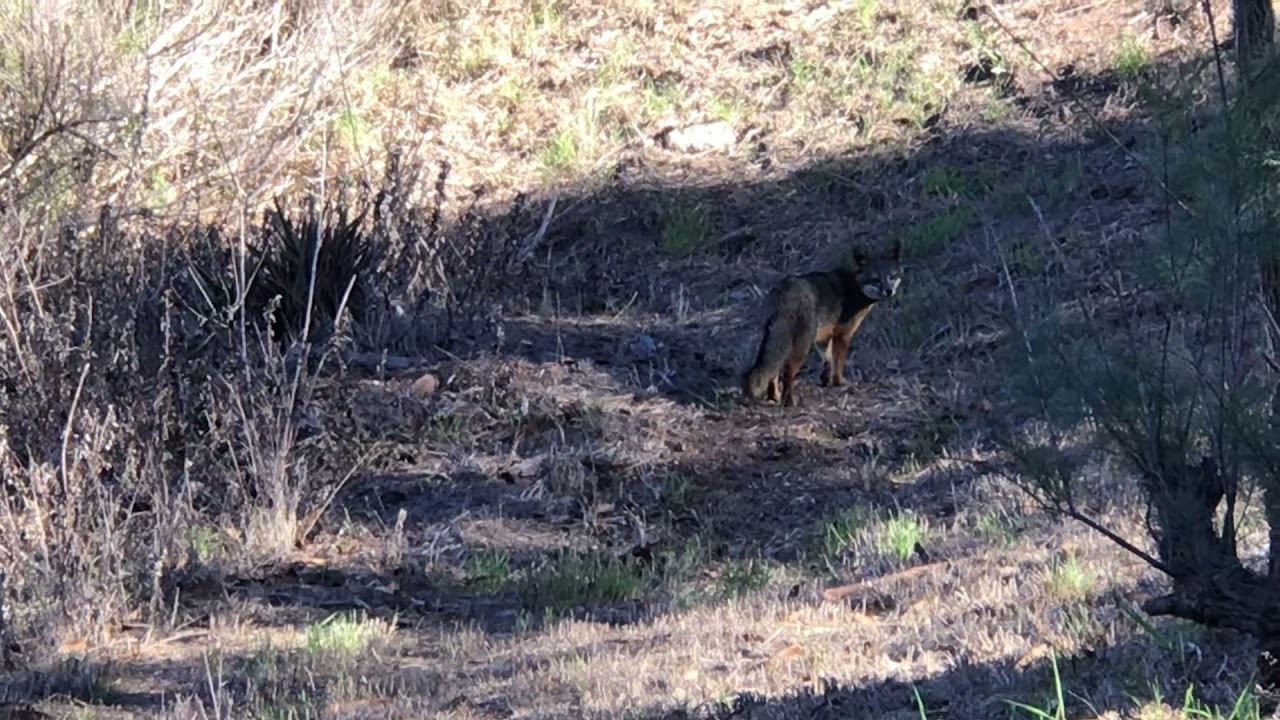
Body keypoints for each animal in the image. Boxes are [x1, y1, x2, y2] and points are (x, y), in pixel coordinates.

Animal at [741, 240, 903, 407]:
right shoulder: (843, 334)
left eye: (892, 277)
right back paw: (789, 402)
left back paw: (774, 397)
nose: (889, 291)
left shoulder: (824, 335)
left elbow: (827, 358)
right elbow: (838, 362)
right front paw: (838, 382)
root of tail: (784, 289)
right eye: (876, 279)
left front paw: (825, 379)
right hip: (802, 346)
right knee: (787, 372)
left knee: (774, 370)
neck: (854, 285)